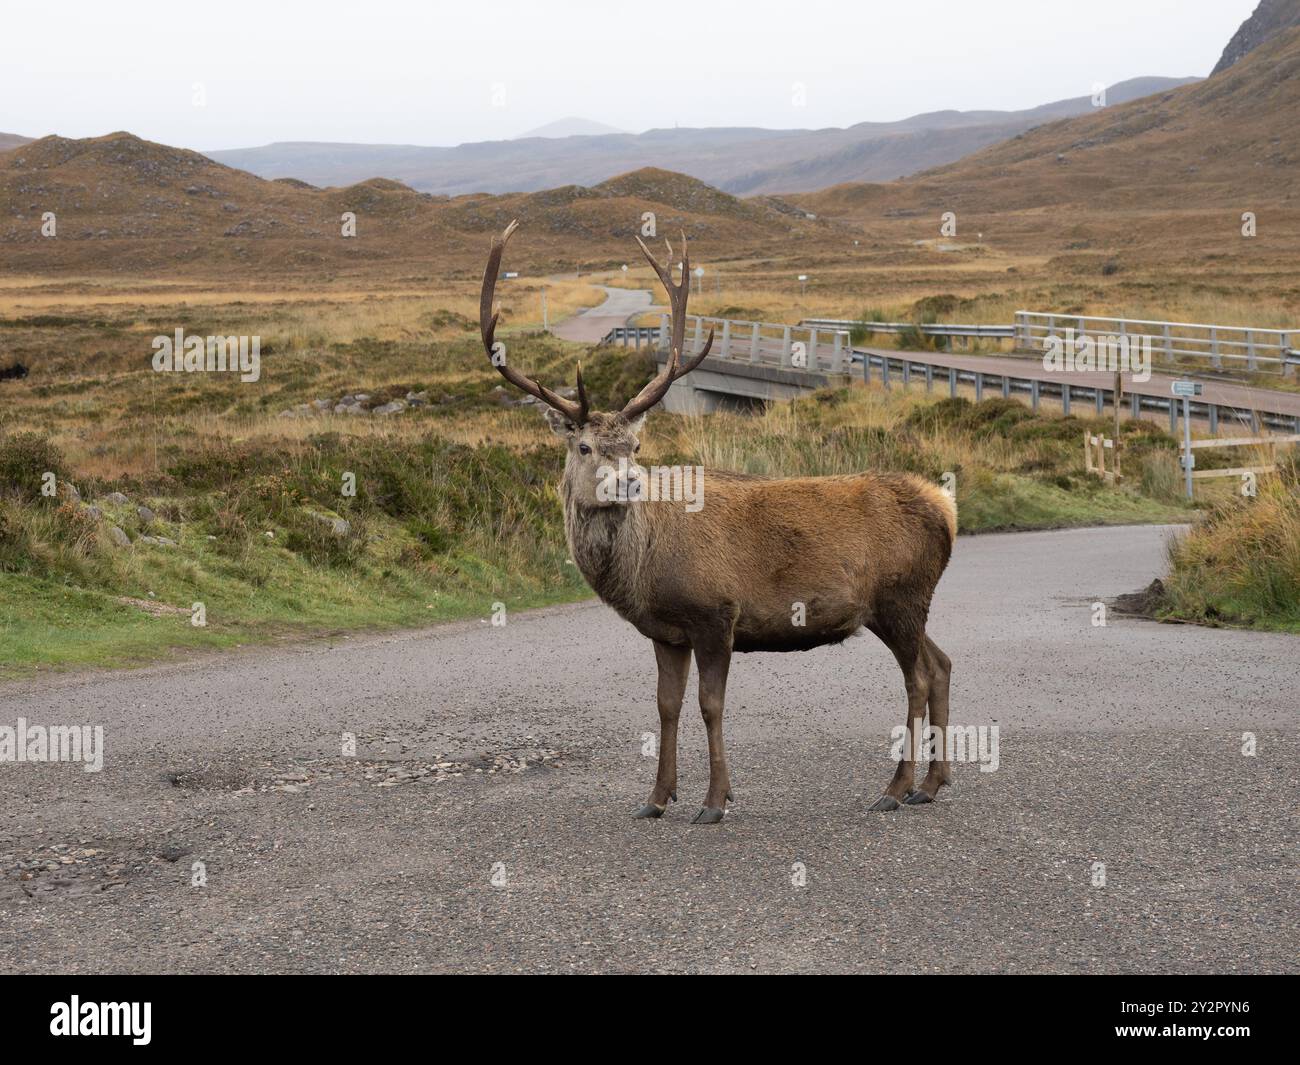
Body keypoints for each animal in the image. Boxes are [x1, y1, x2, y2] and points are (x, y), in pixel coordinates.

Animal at [480, 221, 957, 824]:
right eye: (585, 446)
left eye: (636, 446)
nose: (629, 482)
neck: (640, 571)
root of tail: (947, 508)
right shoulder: (667, 632)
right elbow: (666, 706)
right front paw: (656, 798)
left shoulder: (715, 613)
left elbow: (711, 706)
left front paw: (714, 801)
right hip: (901, 604)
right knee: (941, 664)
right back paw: (933, 783)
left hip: (900, 596)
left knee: (917, 677)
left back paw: (895, 788)